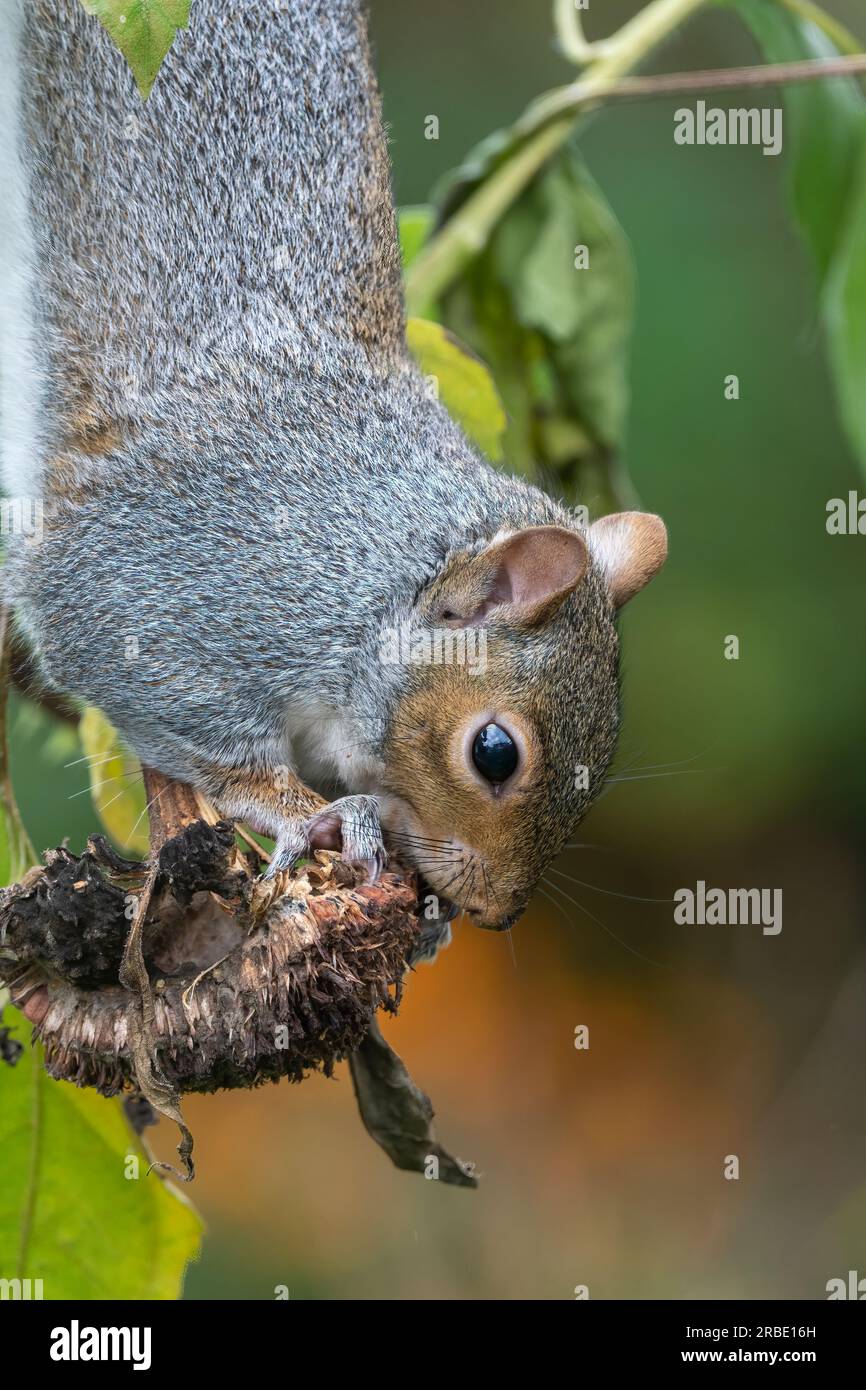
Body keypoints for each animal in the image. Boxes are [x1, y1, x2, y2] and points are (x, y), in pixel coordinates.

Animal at [0, 0, 666, 935]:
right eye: (495, 752)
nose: (498, 914)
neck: (369, 579)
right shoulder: (163, 593)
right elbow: (175, 711)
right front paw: (304, 808)